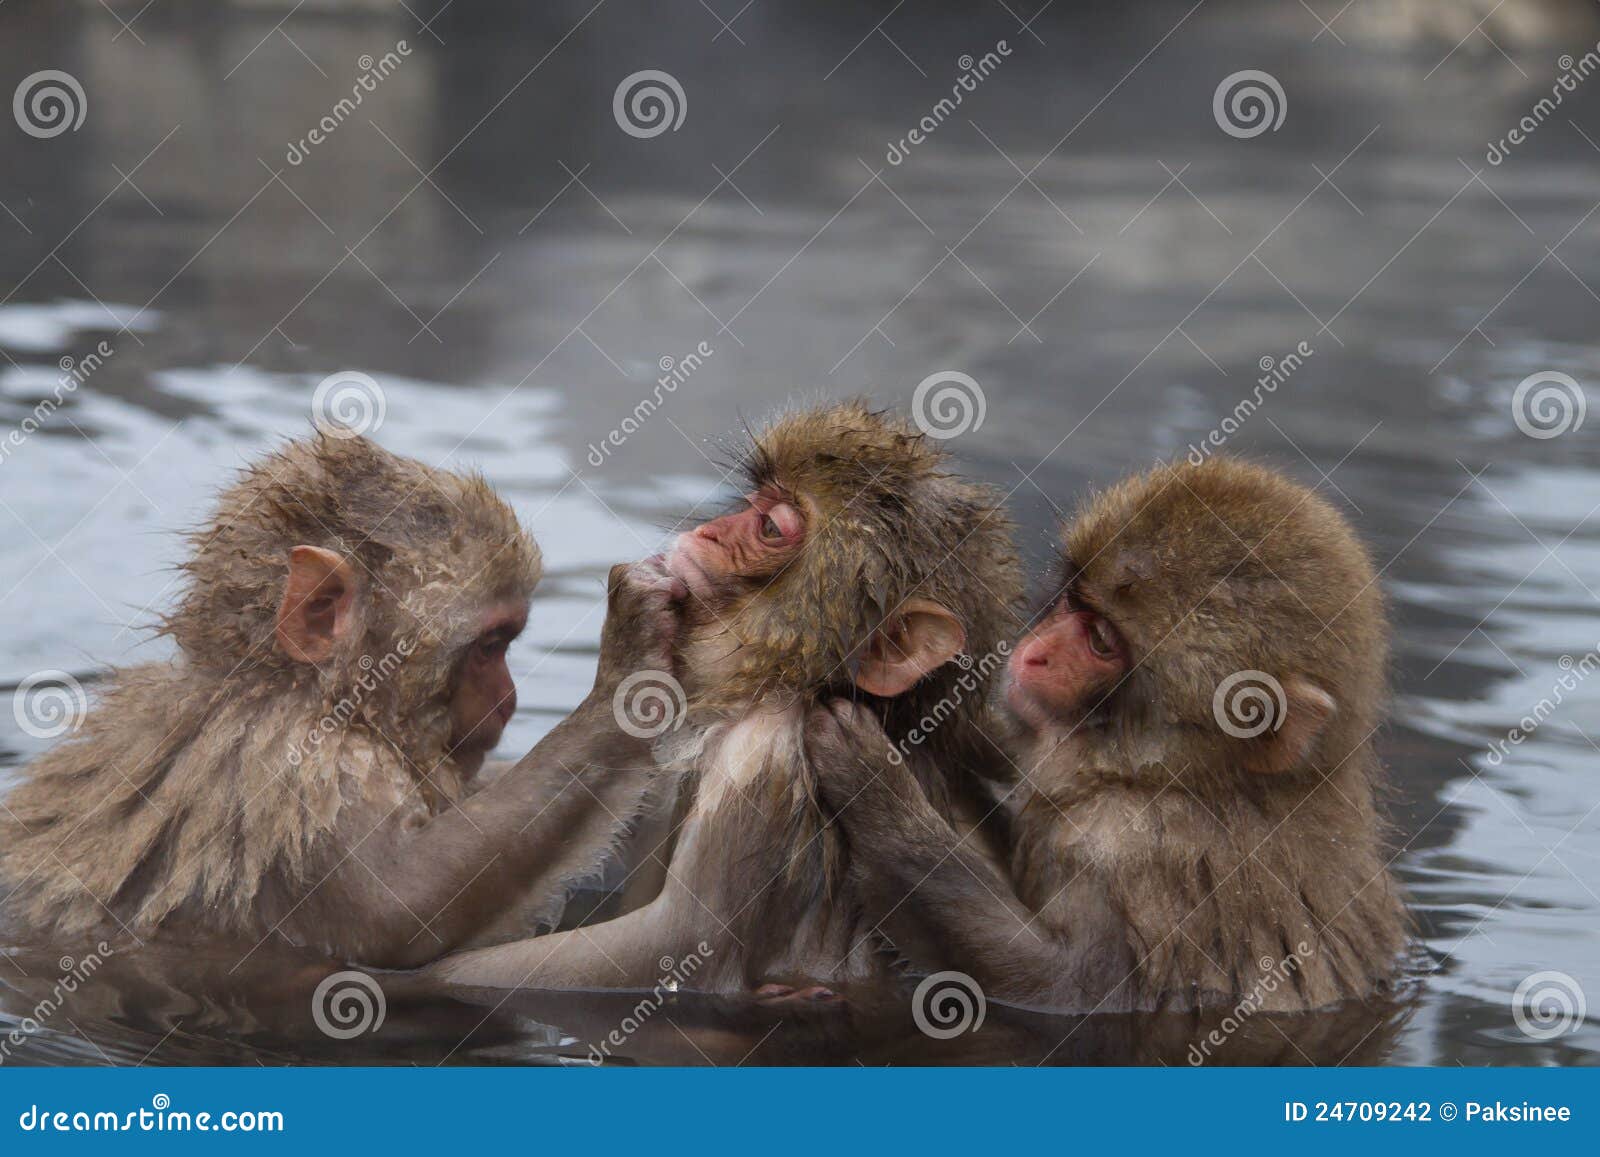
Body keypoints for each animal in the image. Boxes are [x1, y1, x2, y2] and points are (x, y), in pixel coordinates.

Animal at [0, 432, 680, 968]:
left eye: (507, 641)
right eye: (491, 646)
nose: (510, 700)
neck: (288, 687)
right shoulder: (291, 764)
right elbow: (399, 905)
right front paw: (626, 679)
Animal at [420, 402, 1024, 996]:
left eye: (768, 527)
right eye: (756, 499)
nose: (709, 531)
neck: (774, 685)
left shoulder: (766, 752)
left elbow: (679, 947)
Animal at [808, 456, 1410, 1014]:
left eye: (1100, 640)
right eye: (1073, 604)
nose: (1034, 652)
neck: (1196, 781)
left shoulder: (1134, 849)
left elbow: (1070, 986)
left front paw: (879, 794)